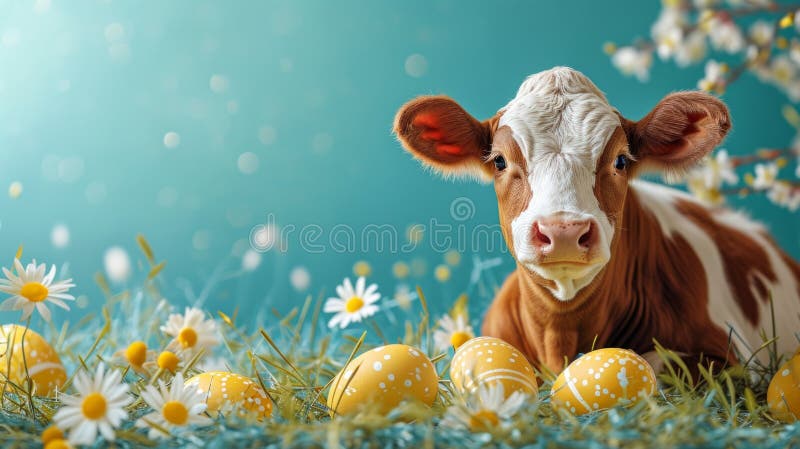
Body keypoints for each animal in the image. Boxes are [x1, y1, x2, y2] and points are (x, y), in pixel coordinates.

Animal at [393, 66, 800, 375]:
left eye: (620, 160)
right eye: (499, 161)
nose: (563, 231)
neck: (560, 331)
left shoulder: (732, 362)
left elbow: (655, 364)